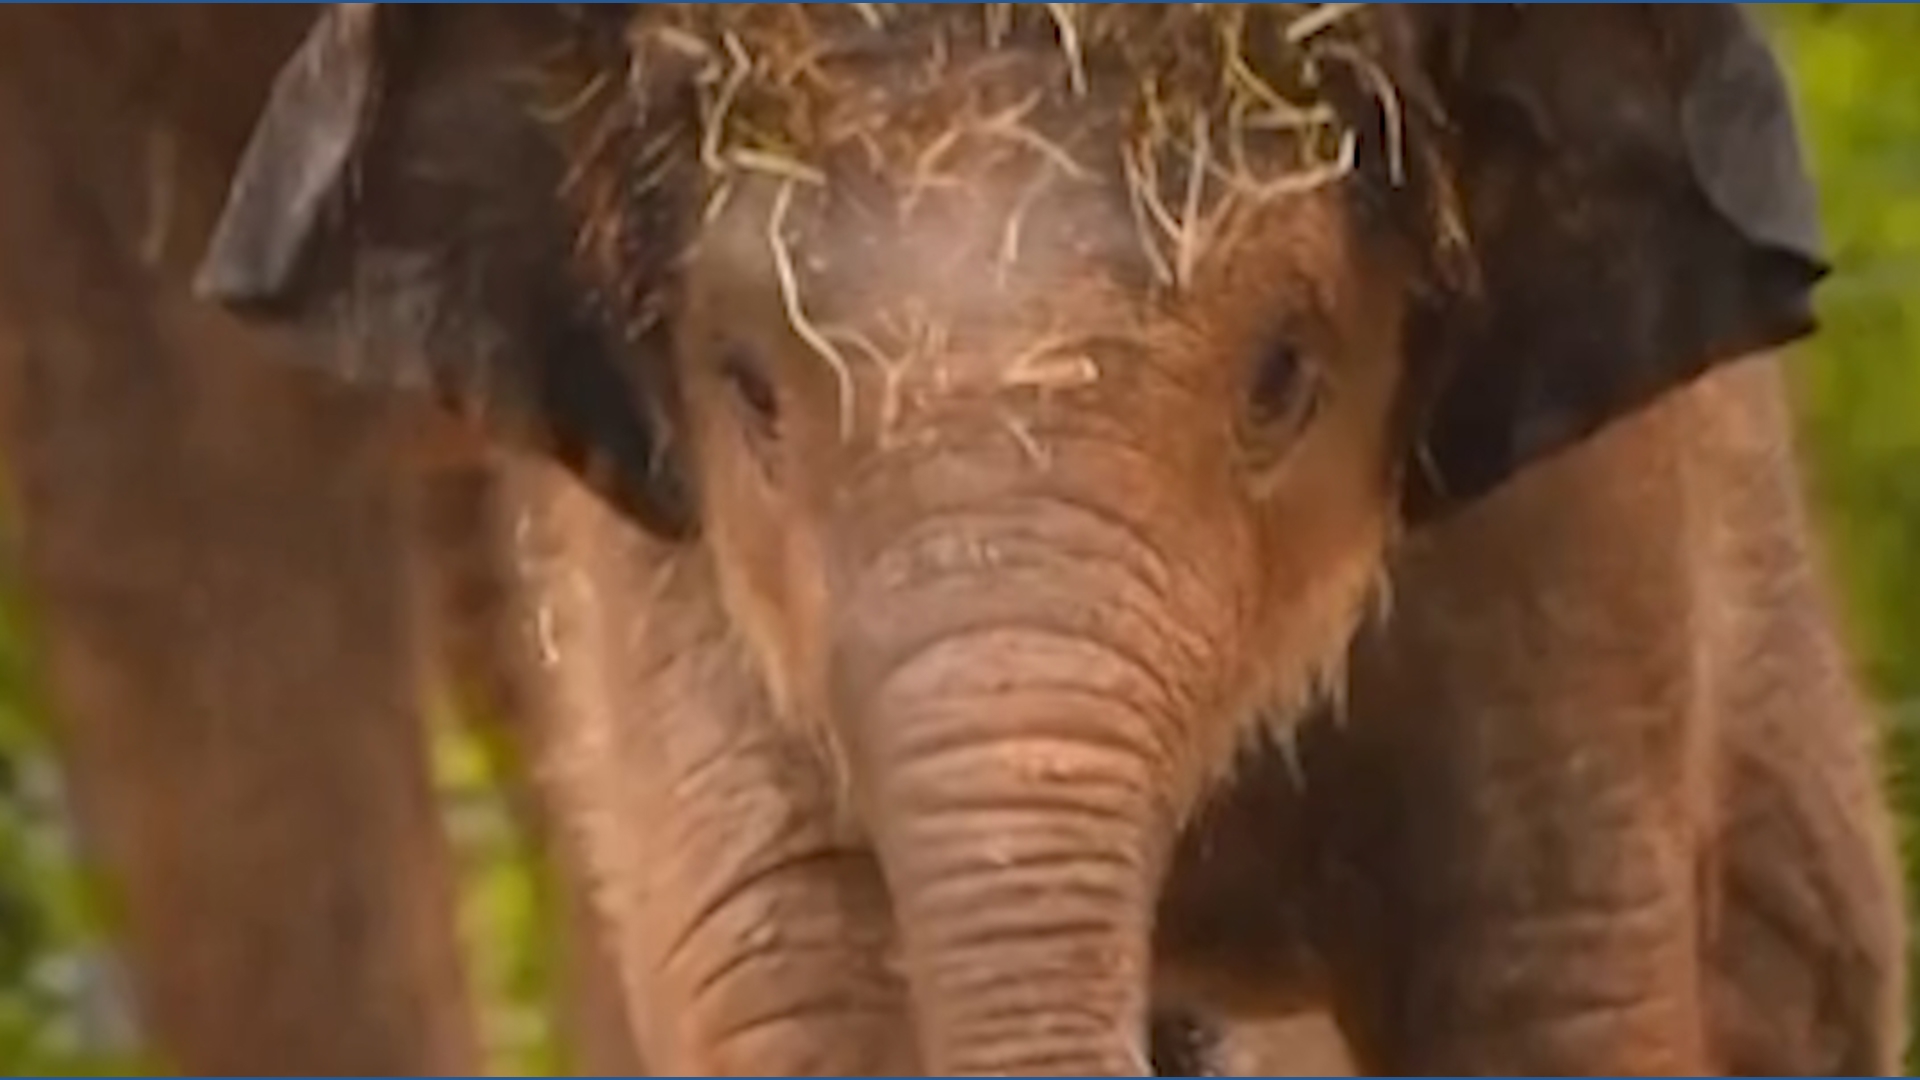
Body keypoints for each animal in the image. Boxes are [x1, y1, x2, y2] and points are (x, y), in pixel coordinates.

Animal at [194, 3, 1869, 1074]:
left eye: (1284, 375)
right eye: (748, 387)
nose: (1176, 1032)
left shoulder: (1581, 544)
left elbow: (1535, 982)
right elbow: (801, 969)